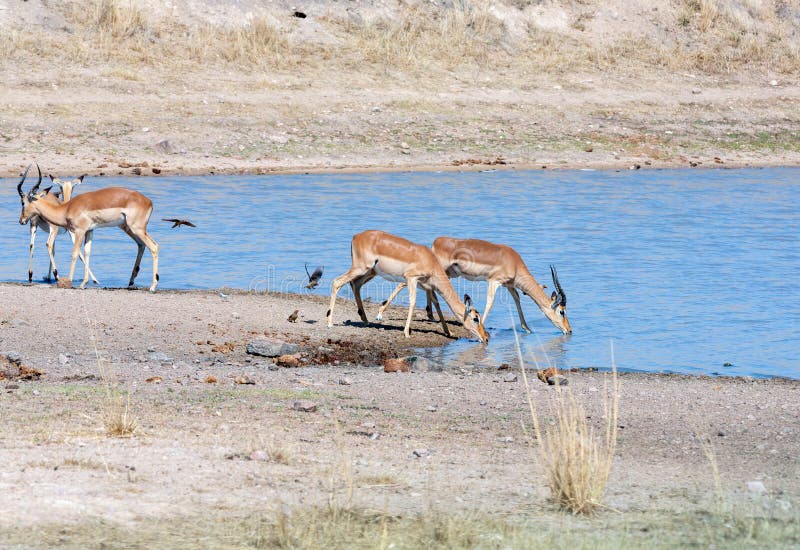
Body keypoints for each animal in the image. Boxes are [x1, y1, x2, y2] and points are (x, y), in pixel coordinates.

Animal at [17, 164, 160, 292]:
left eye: (23, 202)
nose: (21, 220)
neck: (66, 208)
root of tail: (149, 202)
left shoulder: (79, 231)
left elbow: (75, 253)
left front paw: (69, 281)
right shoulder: (89, 231)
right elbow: (87, 253)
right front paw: (83, 283)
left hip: (136, 228)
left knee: (153, 246)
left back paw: (152, 286)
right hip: (129, 228)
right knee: (142, 245)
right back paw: (131, 281)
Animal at [326, 230, 489, 343]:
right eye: (476, 318)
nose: (486, 338)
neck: (429, 260)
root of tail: (356, 236)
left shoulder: (427, 286)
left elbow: (436, 304)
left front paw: (448, 332)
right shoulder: (411, 279)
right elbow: (413, 302)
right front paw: (406, 333)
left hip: (368, 271)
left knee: (355, 285)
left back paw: (365, 320)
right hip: (361, 268)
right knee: (336, 282)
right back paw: (329, 323)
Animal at [376, 237, 571, 335]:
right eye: (562, 311)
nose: (569, 330)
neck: (513, 261)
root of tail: (438, 241)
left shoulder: (509, 284)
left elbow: (517, 299)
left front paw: (527, 328)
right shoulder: (494, 281)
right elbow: (490, 302)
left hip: (446, 273)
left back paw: (431, 315)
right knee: (404, 282)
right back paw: (380, 313)